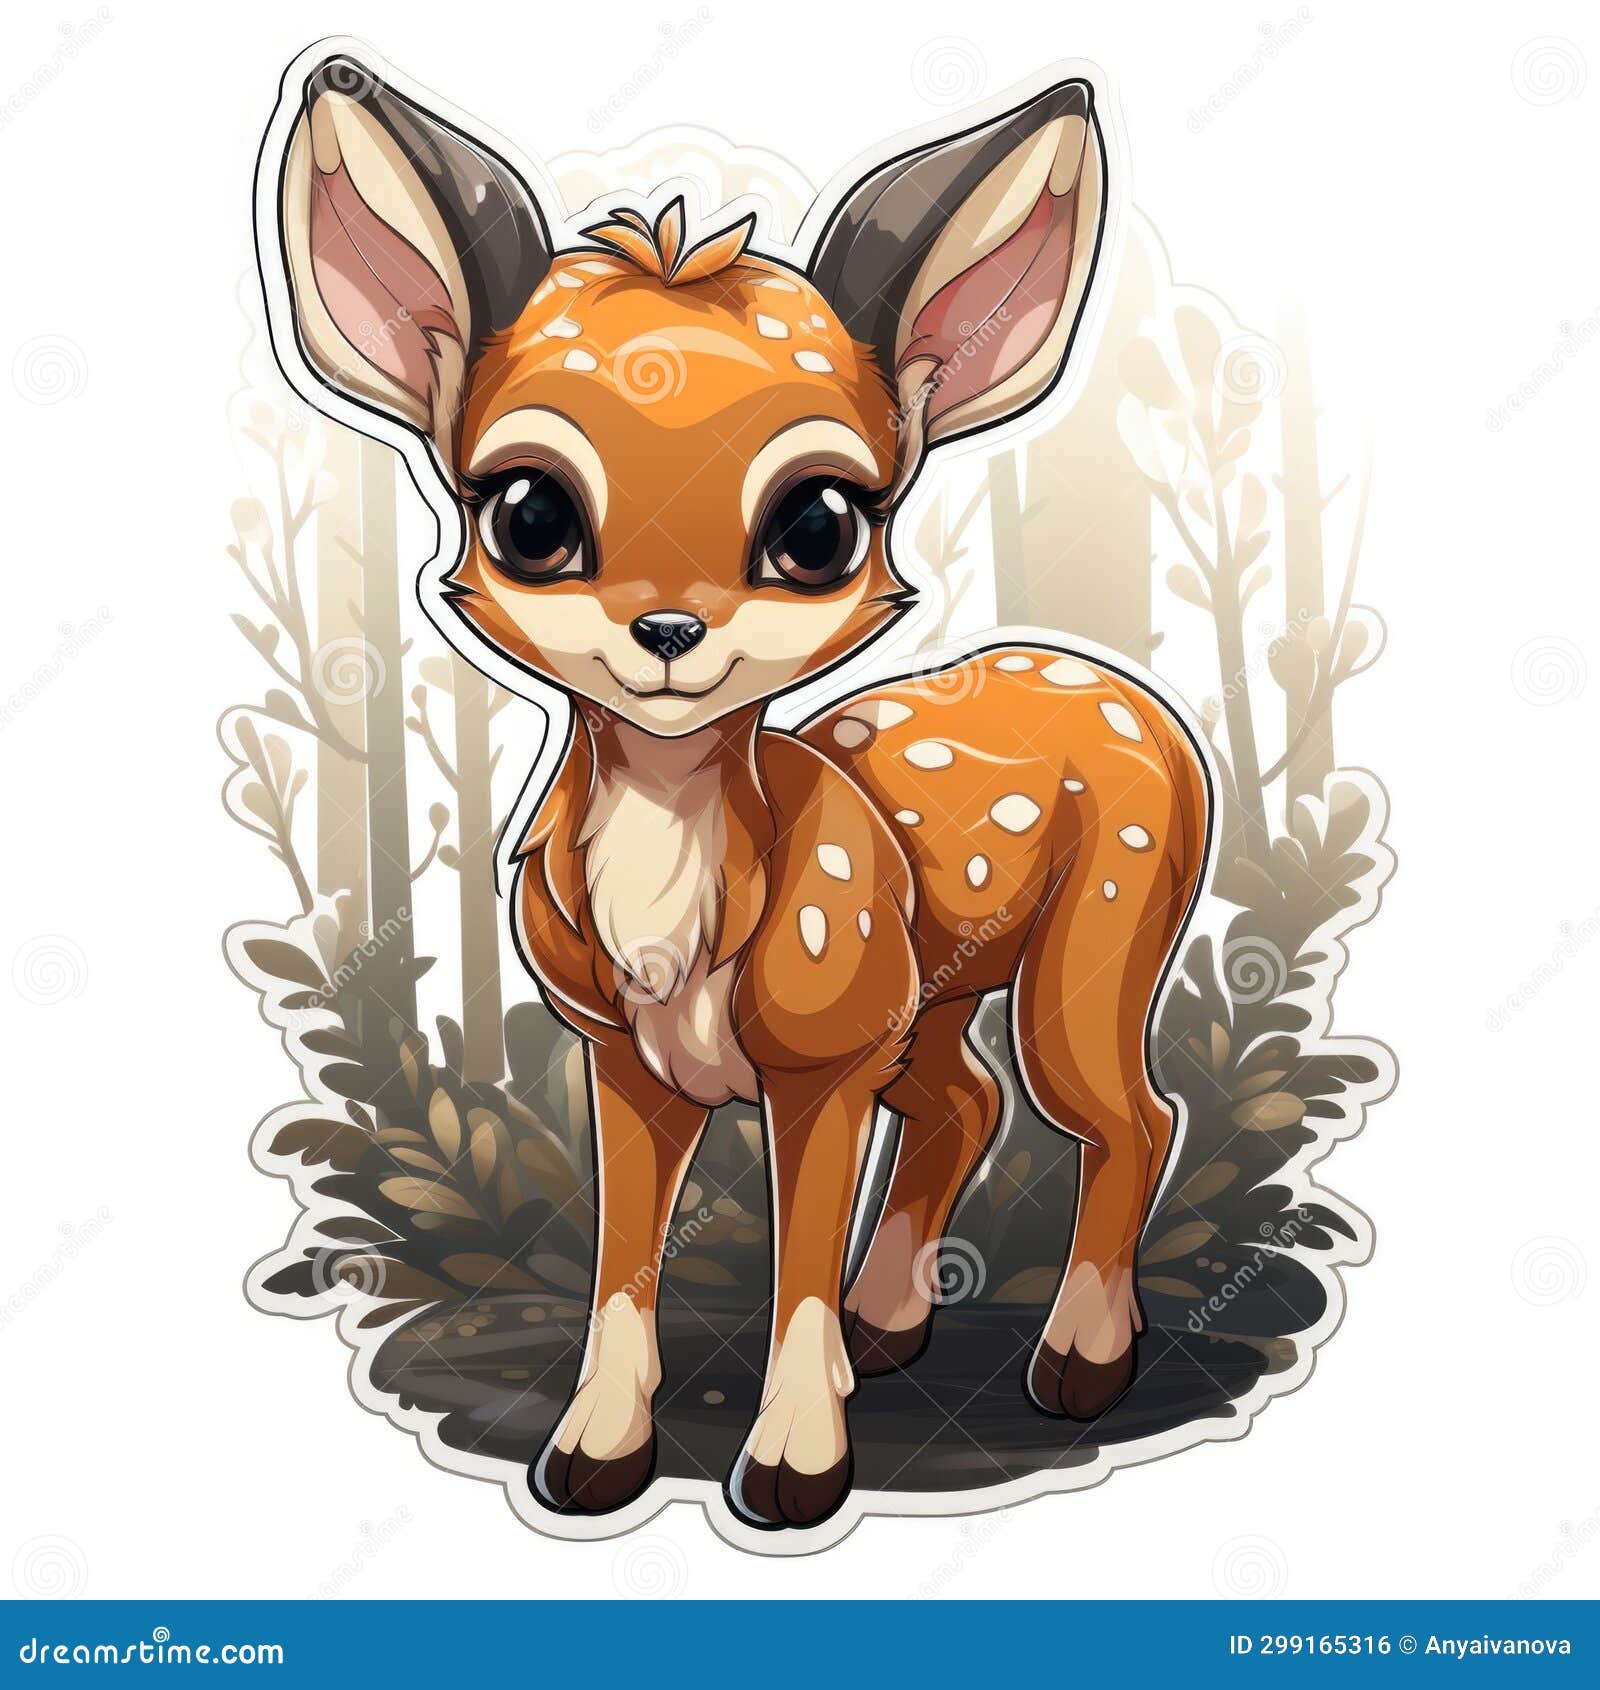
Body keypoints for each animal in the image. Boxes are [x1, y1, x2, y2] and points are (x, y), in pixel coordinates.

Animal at [271, 53, 1209, 1532]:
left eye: (819, 523)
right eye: (528, 512)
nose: (668, 630)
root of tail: (1124, 693)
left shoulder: (821, 1051)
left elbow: (791, 1268)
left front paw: (793, 1470)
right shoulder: (626, 1052)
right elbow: (622, 1266)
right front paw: (590, 1458)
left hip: (1098, 933)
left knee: (1128, 1112)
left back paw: (1079, 1362)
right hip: (927, 990)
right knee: (970, 1102)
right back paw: (896, 1326)